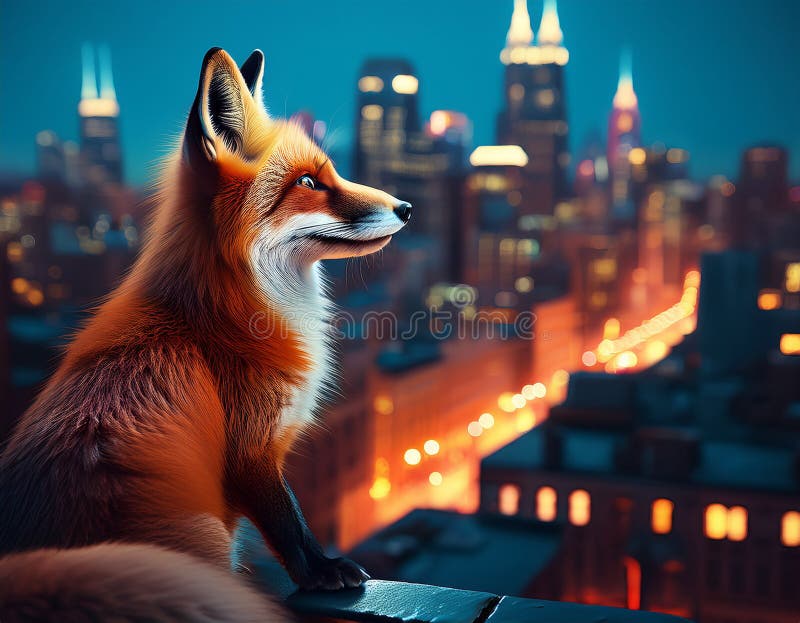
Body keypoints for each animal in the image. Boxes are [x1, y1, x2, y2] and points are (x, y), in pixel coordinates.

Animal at [0, 47, 411, 621]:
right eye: (309, 184)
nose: (407, 208)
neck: (216, 311)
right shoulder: (250, 447)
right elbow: (288, 521)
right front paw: (322, 573)